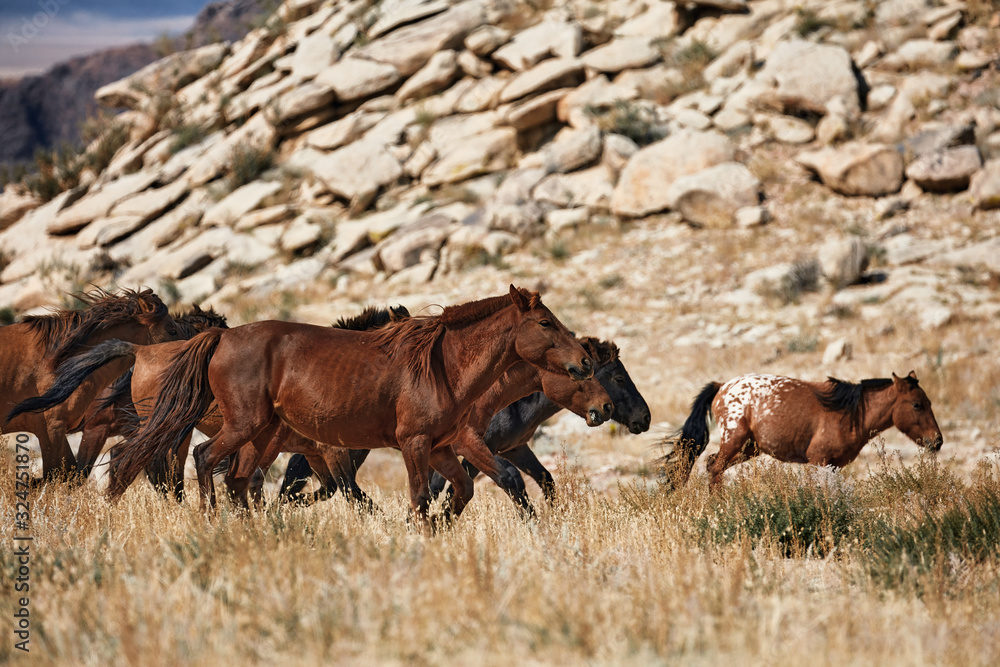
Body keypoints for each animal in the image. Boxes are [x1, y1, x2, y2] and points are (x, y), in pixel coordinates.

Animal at [107, 286, 596, 523]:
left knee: (239, 480)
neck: (442, 365)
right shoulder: (414, 443)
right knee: (205, 459)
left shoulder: (443, 446)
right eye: (545, 322)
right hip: (243, 426)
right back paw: (211, 521)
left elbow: (464, 490)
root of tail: (219, 338)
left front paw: (439, 529)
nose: (585, 362)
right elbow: (419, 496)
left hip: (263, 435)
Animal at [658, 372, 943, 491]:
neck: (850, 413)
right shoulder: (817, 460)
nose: (937, 441)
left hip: (749, 448)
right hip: (734, 440)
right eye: (916, 404)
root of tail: (721, 387)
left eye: (930, 402)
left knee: (711, 465)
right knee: (715, 468)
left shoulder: (834, 465)